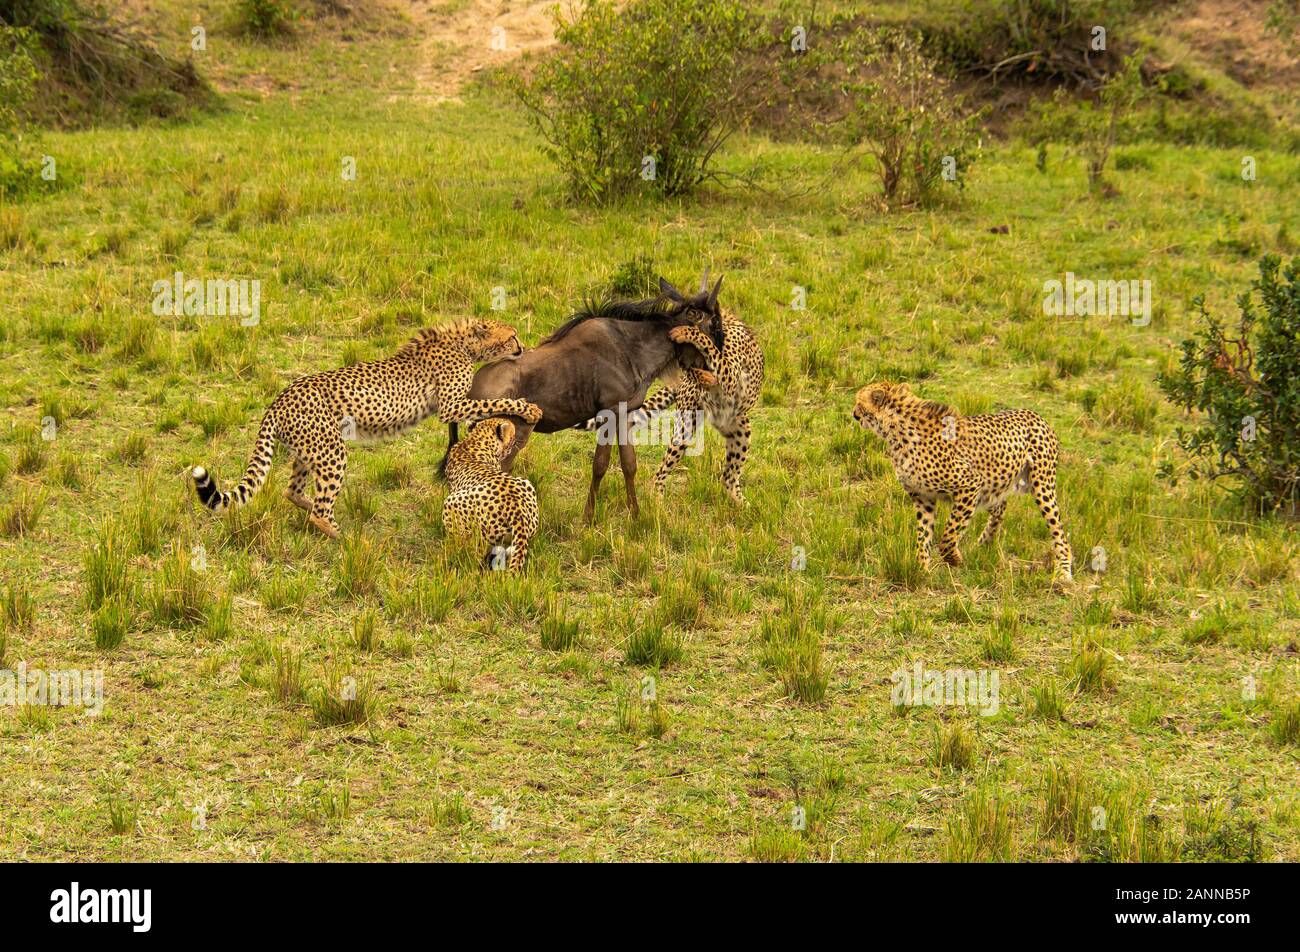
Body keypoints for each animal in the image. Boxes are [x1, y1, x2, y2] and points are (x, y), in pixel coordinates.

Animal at [191, 319, 542, 539]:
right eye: (512, 336)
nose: (522, 347)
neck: (463, 343)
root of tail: (280, 397)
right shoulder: (450, 406)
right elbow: (493, 403)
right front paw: (529, 408)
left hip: (309, 450)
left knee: (293, 491)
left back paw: (312, 509)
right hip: (331, 451)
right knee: (321, 508)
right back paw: (342, 536)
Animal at [442, 417, 539, 571]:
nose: (515, 442)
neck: (477, 439)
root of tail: (517, 511)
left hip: (452, 503)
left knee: (470, 545)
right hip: (526, 484)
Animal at [852, 381, 1072, 582]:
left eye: (858, 402)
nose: (853, 413)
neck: (896, 430)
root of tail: (1034, 414)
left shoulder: (970, 485)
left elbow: (949, 534)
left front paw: (954, 559)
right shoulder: (923, 497)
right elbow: (923, 536)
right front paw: (921, 569)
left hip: (1041, 487)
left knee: (1059, 532)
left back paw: (1064, 572)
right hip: (992, 488)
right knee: (1000, 507)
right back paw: (984, 543)